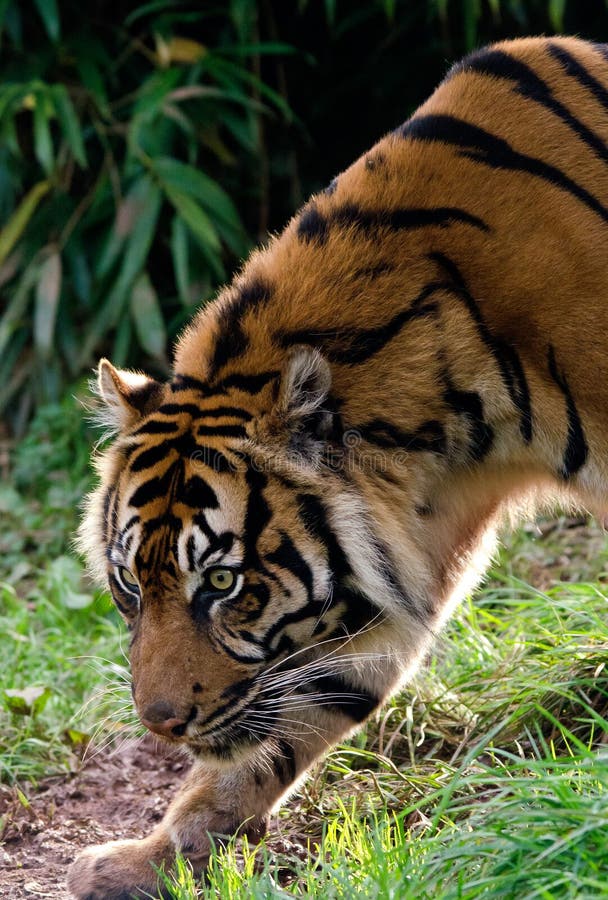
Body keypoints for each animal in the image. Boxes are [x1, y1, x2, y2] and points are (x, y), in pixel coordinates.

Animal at [68, 34, 608, 899]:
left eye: (223, 583)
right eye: (128, 584)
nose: (161, 725)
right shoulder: (415, 542)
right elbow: (294, 716)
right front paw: (148, 859)